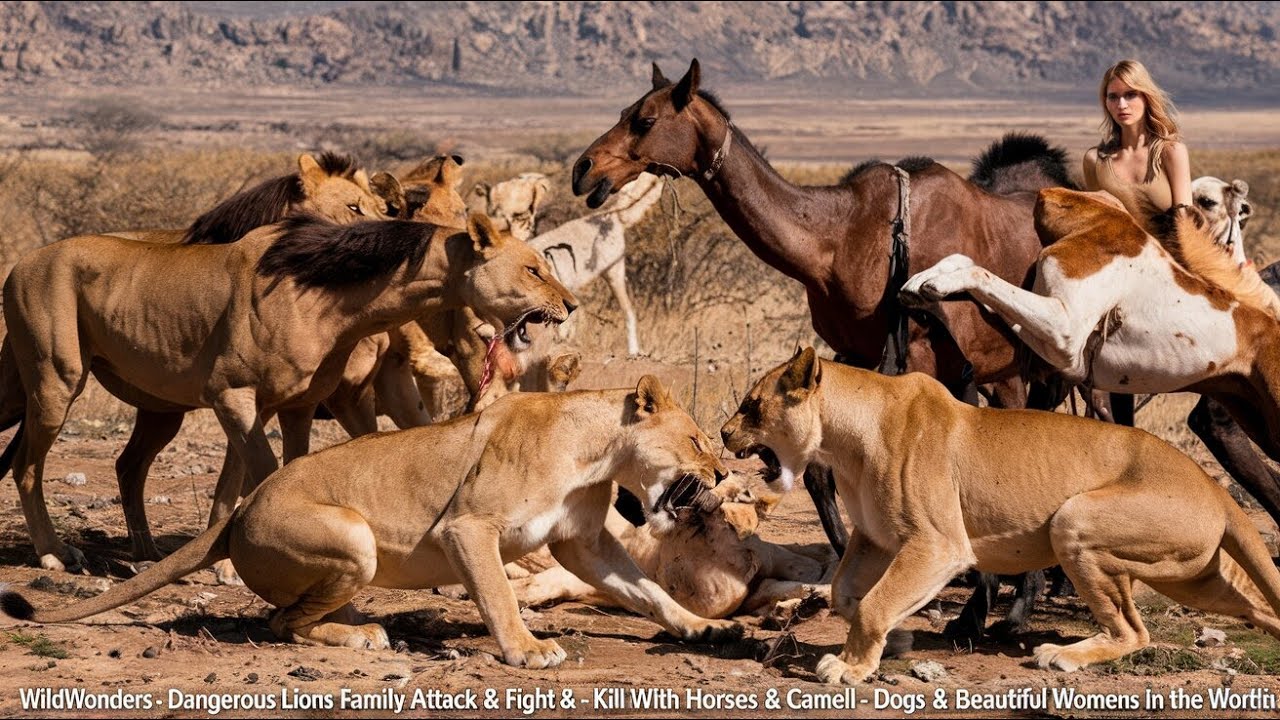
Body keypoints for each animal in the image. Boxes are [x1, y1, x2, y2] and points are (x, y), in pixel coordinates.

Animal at [0, 211, 576, 576]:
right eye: (533, 268)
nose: (569, 304)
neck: (338, 304)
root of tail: (21, 262)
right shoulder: (232, 394)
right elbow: (262, 471)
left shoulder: (291, 406)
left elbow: (248, 479)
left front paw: (223, 560)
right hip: (56, 379)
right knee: (27, 465)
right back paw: (53, 554)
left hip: (151, 406)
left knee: (128, 465)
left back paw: (144, 552)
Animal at [1, 376, 742, 669]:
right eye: (698, 441)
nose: (724, 475)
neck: (593, 453)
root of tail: (242, 507)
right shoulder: (467, 527)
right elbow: (500, 596)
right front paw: (528, 649)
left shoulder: (582, 543)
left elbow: (650, 593)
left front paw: (704, 629)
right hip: (353, 538)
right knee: (281, 624)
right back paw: (362, 637)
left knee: (296, 613)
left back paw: (361, 624)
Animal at [721, 347, 1280, 684]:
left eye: (751, 406)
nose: (723, 434)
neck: (843, 441)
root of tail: (1211, 483)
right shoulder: (875, 538)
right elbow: (846, 594)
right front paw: (896, 641)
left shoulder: (938, 544)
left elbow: (876, 604)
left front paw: (851, 667)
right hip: (1196, 576)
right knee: (1259, 605)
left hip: (1074, 521)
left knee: (1132, 632)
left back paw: (1062, 655)